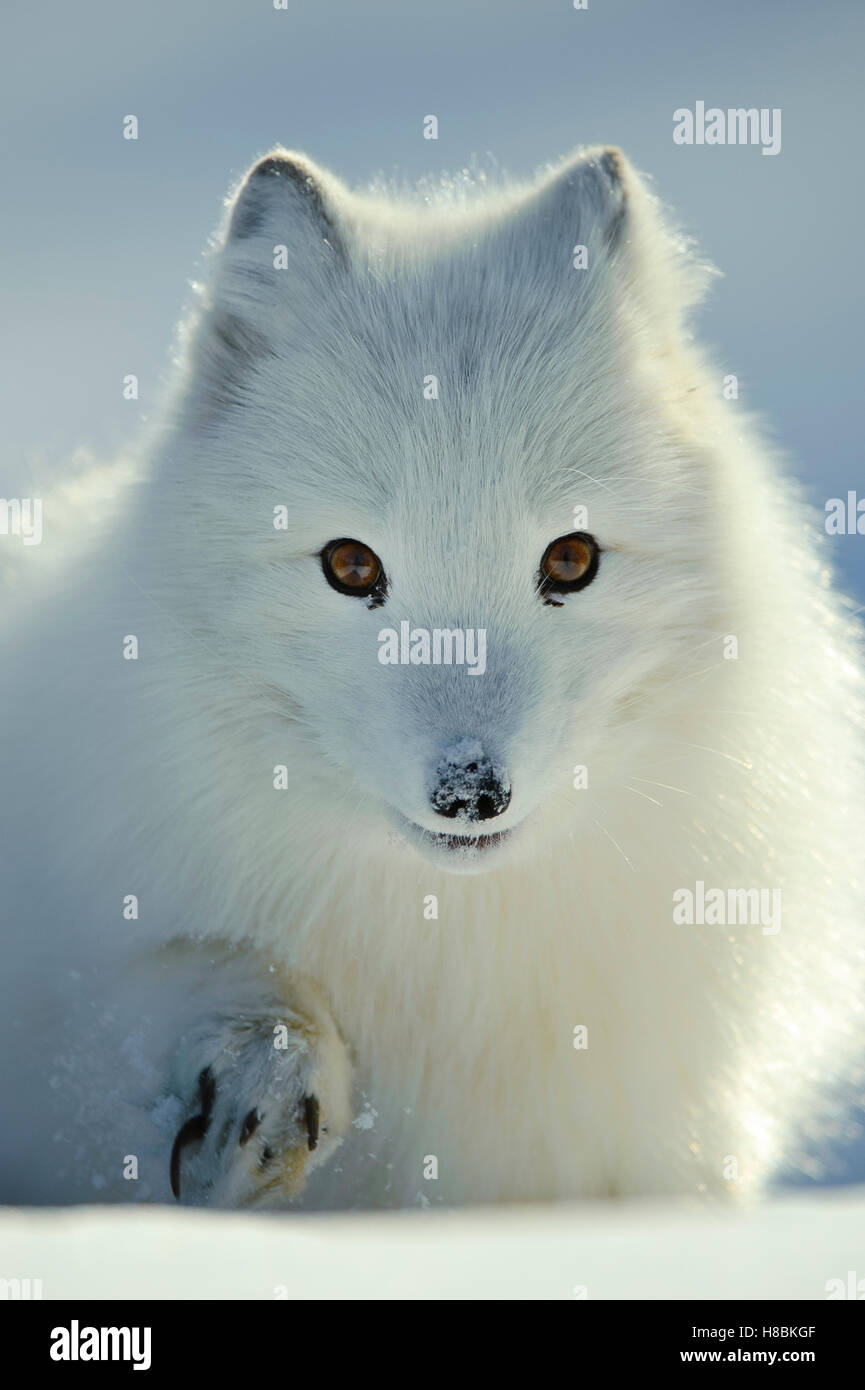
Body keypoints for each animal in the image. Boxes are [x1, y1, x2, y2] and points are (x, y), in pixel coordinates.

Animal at [0, 144, 863, 1209]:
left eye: (571, 558)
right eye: (350, 564)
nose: (469, 793)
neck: (451, 946)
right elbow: (181, 973)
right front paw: (262, 1066)